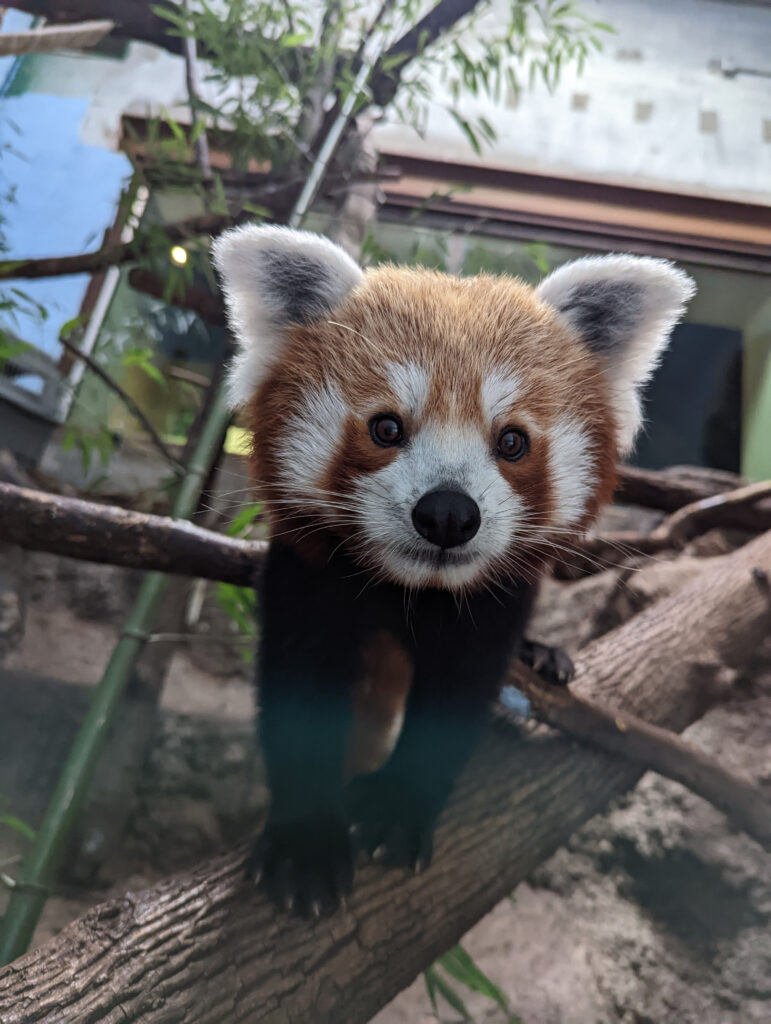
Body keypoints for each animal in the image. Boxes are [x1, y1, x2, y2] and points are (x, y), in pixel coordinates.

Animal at [212, 224, 694, 916]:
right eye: (386, 427)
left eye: (512, 441)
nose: (447, 513)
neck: (413, 590)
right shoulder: (308, 575)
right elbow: (301, 689)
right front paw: (304, 844)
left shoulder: (495, 599)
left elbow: (460, 691)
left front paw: (397, 809)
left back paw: (544, 656)